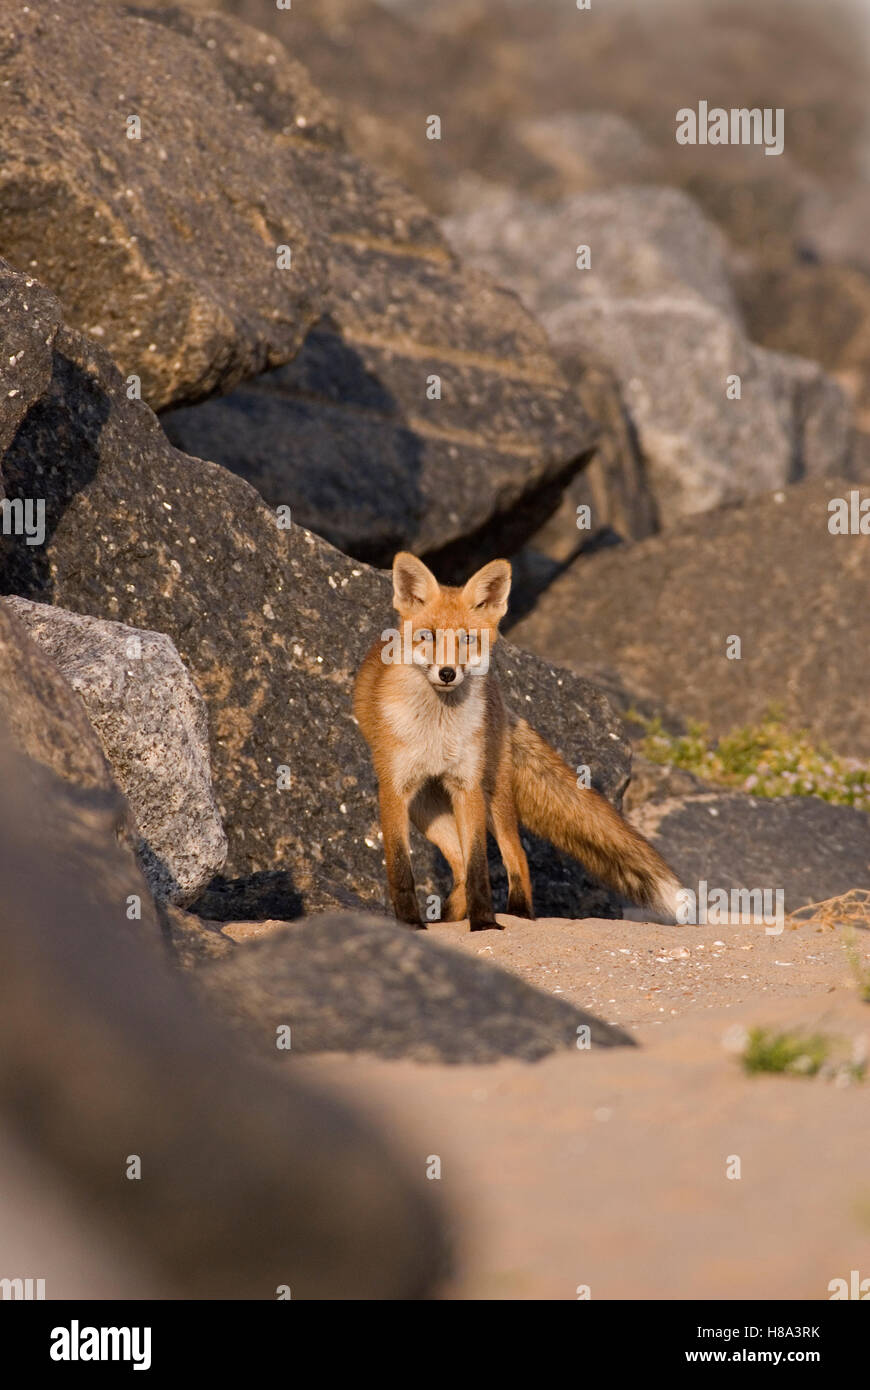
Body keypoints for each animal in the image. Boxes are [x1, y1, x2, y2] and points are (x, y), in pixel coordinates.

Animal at [353, 551, 681, 932]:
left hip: (492, 796)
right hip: (426, 808)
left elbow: (479, 866)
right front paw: (409, 924)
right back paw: (449, 918)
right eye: (428, 636)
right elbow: (402, 870)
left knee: (514, 856)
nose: (447, 673)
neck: (437, 729)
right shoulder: (394, 791)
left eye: (468, 639)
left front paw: (484, 923)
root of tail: (501, 699)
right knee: (458, 866)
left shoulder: (468, 786)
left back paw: (519, 914)